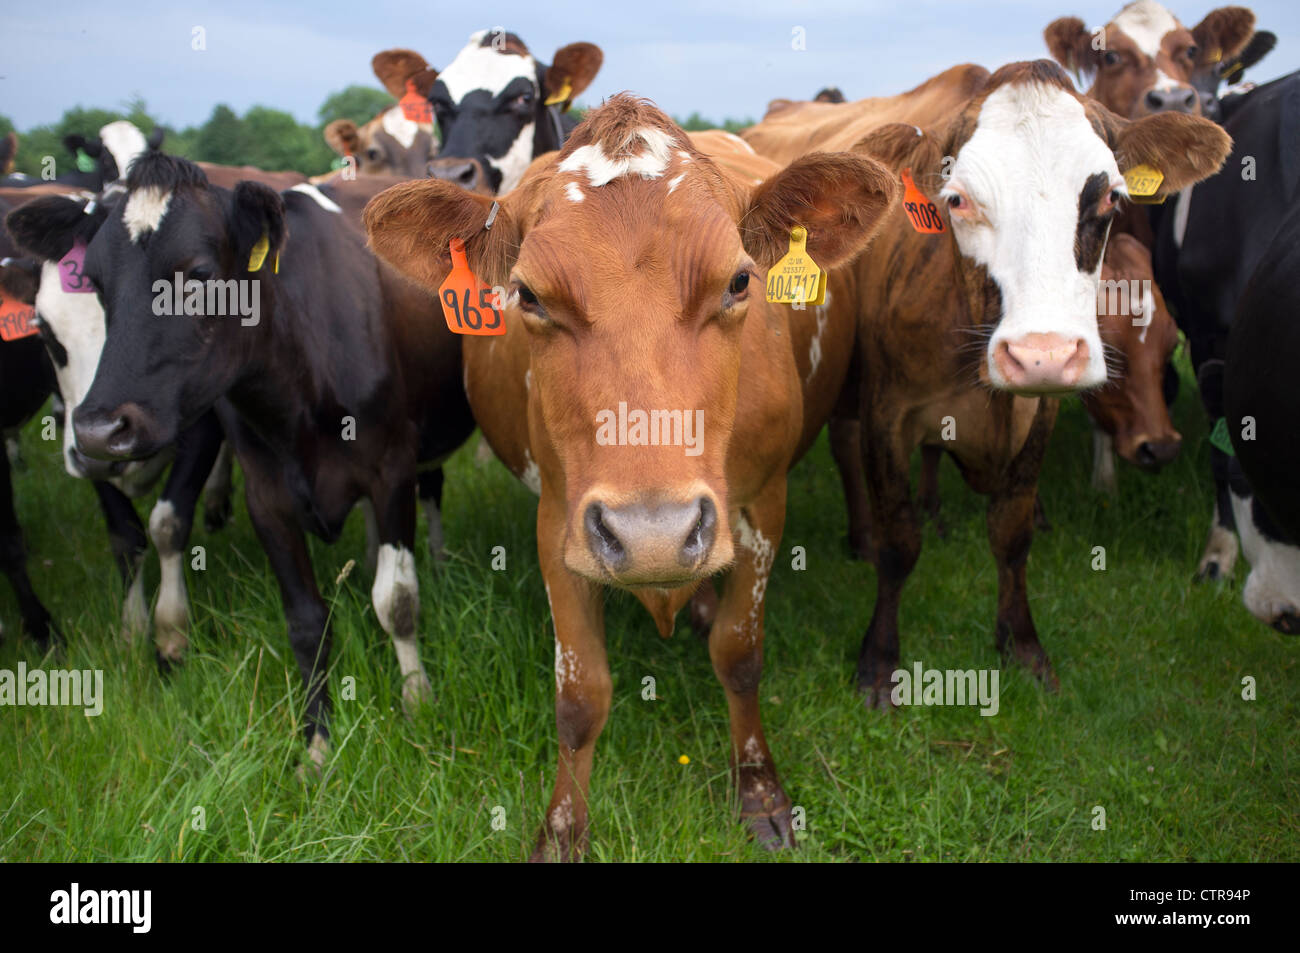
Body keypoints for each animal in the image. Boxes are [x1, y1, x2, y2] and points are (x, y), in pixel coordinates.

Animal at [17, 153, 475, 764]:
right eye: (94, 281)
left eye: (199, 277)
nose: (96, 431)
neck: (300, 376)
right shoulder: (266, 493)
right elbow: (304, 619)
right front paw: (317, 740)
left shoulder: (392, 469)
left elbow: (398, 601)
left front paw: (417, 700)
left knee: (432, 493)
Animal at [365, 94, 899, 859]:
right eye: (528, 294)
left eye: (740, 280)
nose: (654, 534)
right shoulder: (560, 525)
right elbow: (580, 694)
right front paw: (562, 829)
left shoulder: (763, 507)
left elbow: (740, 654)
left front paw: (760, 792)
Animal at [743, 61, 1231, 704]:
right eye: (957, 199)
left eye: (1110, 195)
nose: (1043, 355)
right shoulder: (886, 415)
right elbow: (900, 546)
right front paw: (879, 660)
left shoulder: (1038, 417)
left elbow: (1012, 534)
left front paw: (1022, 646)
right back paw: (862, 537)